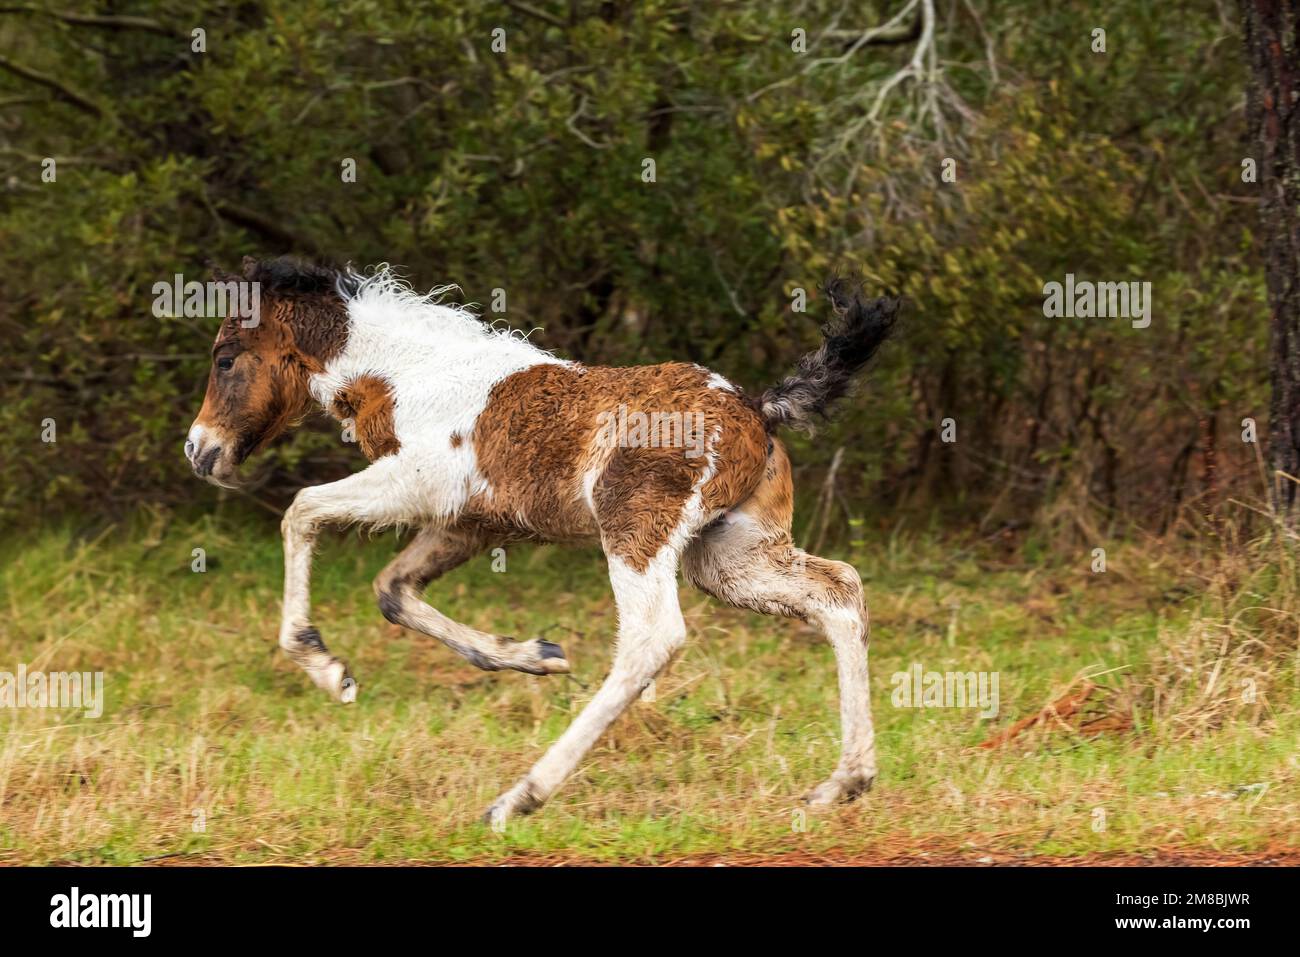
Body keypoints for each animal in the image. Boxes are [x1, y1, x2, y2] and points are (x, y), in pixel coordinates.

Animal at [185, 256, 899, 825]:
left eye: (225, 360)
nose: (199, 450)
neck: (406, 375)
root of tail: (757, 409)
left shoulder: (416, 484)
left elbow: (302, 512)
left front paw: (324, 666)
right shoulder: (471, 522)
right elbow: (393, 590)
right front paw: (535, 655)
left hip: (637, 534)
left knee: (651, 640)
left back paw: (519, 797)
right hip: (727, 557)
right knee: (838, 592)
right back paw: (844, 782)